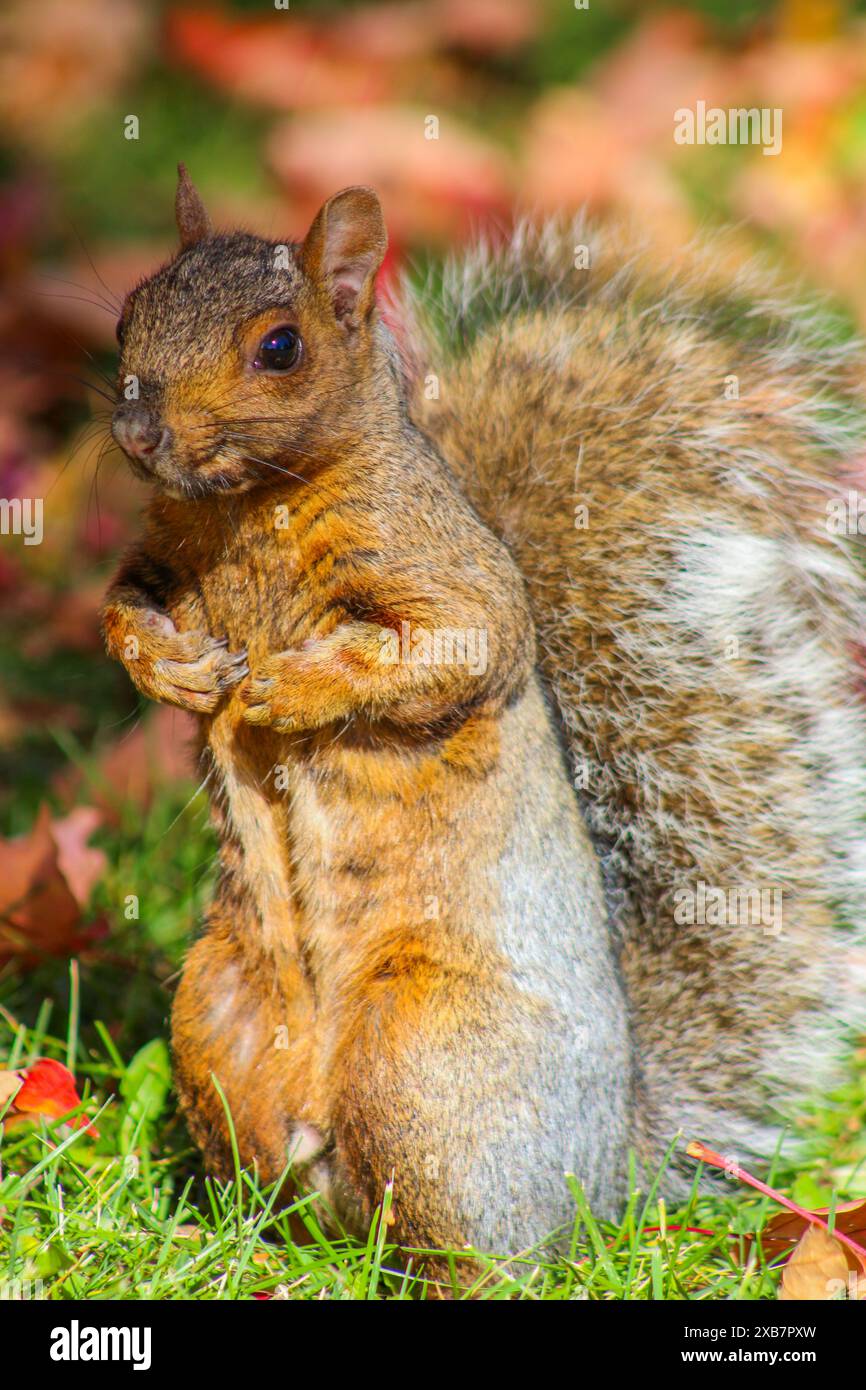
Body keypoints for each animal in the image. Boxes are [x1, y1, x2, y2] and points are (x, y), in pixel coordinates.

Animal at [102, 167, 866, 1261]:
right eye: (130, 314)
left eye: (279, 347)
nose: (138, 432)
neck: (243, 507)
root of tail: (607, 1169)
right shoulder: (158, 550)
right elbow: (123, 607)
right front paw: (171, 668)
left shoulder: (447, 574)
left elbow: (450, 649)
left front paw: (288, 688)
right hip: (217, 1017)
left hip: (426, 1066)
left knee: (473, 1244)